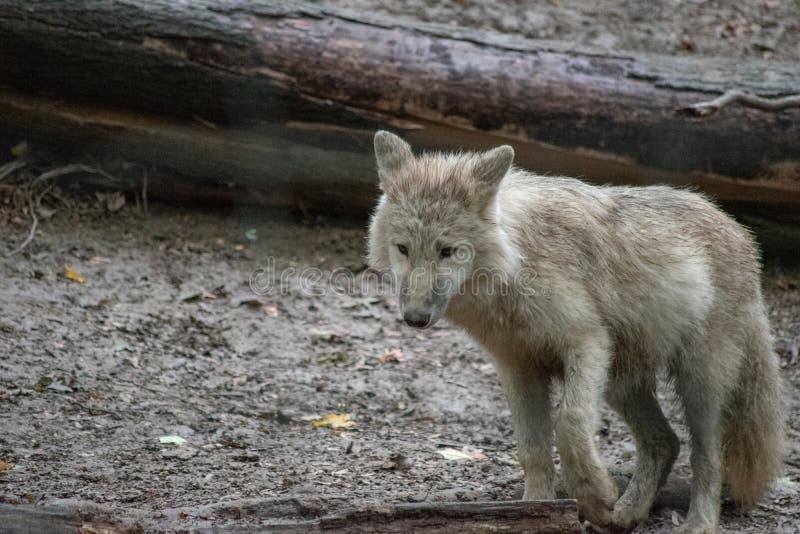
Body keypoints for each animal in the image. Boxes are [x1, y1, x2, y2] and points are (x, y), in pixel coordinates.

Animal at [366, 131, 784, 533]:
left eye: (447, 251)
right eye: (403, 248)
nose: (415, 318)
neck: (517, 264)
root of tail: (741, 232)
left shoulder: (586, 341)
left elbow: (569, 424)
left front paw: (595, 496)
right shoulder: (517, 367)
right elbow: (532, 450)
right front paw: (534, 514)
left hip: (696, 382)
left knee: (708, 454)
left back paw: (698, 523)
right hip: (621, 382)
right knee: (665, 442)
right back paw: (627, 514)